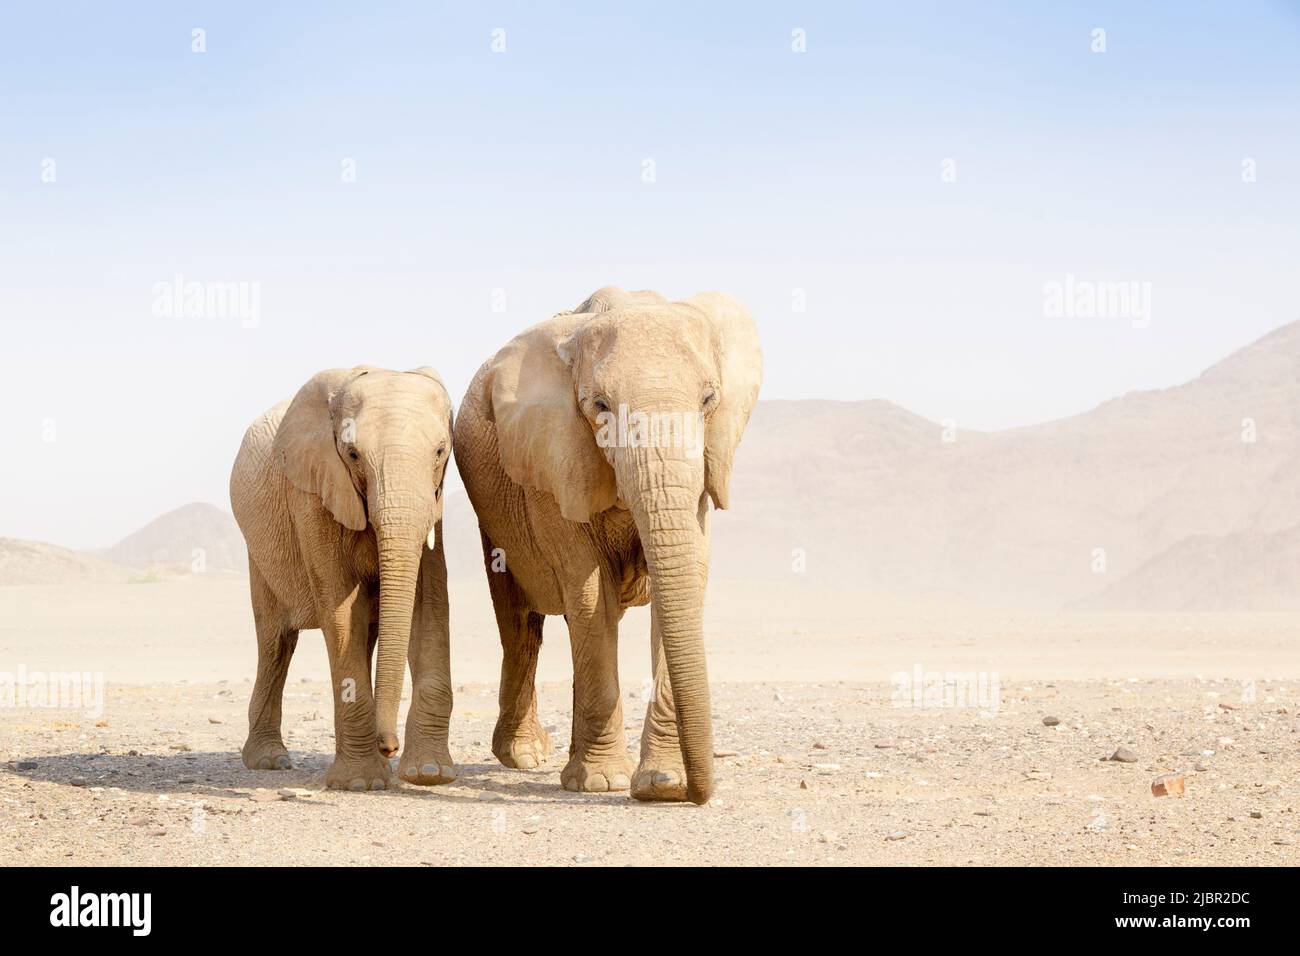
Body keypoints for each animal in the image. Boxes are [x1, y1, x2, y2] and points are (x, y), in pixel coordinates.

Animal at [229, 366, 457, 791]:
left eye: (439, 452)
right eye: (352, 455)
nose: (390, 746)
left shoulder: (433, 503)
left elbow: (429, 602)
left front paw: (429, 775)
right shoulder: (313, 491)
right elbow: (340, 606)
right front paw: (362, 783)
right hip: (260, 551)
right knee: (276, 642)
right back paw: (270, 761)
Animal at [454, 287, 762, 804]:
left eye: (708, 399)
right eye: (599, 405)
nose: (695, 794)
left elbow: (687, 579)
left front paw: (661, 783)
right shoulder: (551, 459)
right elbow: (587, 592)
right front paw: (603, 783)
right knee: (520, 621)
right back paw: (526, 757)